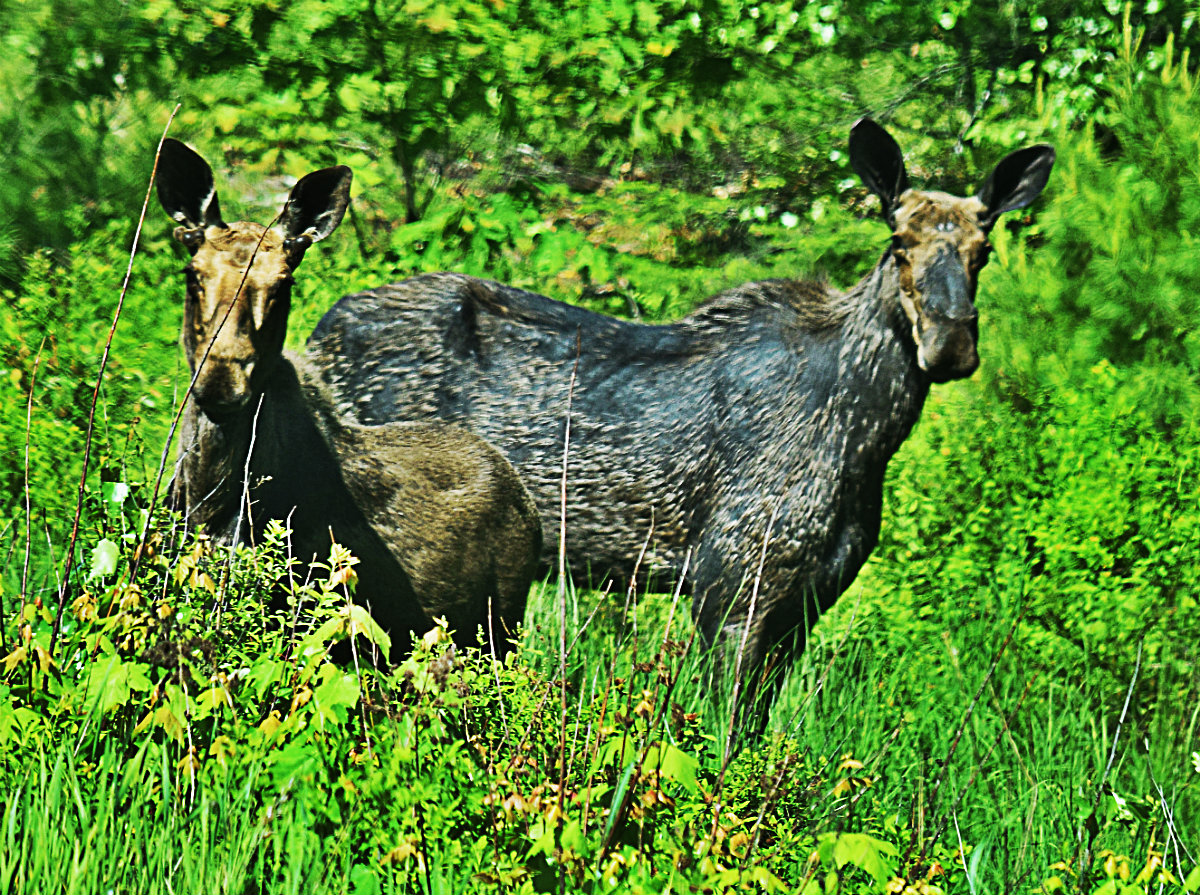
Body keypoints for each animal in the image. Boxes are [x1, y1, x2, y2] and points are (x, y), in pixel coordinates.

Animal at [157, 138, 542, 659]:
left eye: (283, 284)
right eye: (192, 273)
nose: (221, 380)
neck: (209, 500)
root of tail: (527, 503)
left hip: (497, 630)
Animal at [305, 119, 1054, 728]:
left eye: (985, 250)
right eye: (898, 241)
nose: (951, 344)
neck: (864, 436)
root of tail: (314, 338)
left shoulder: (807, 599)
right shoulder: (734, 577)